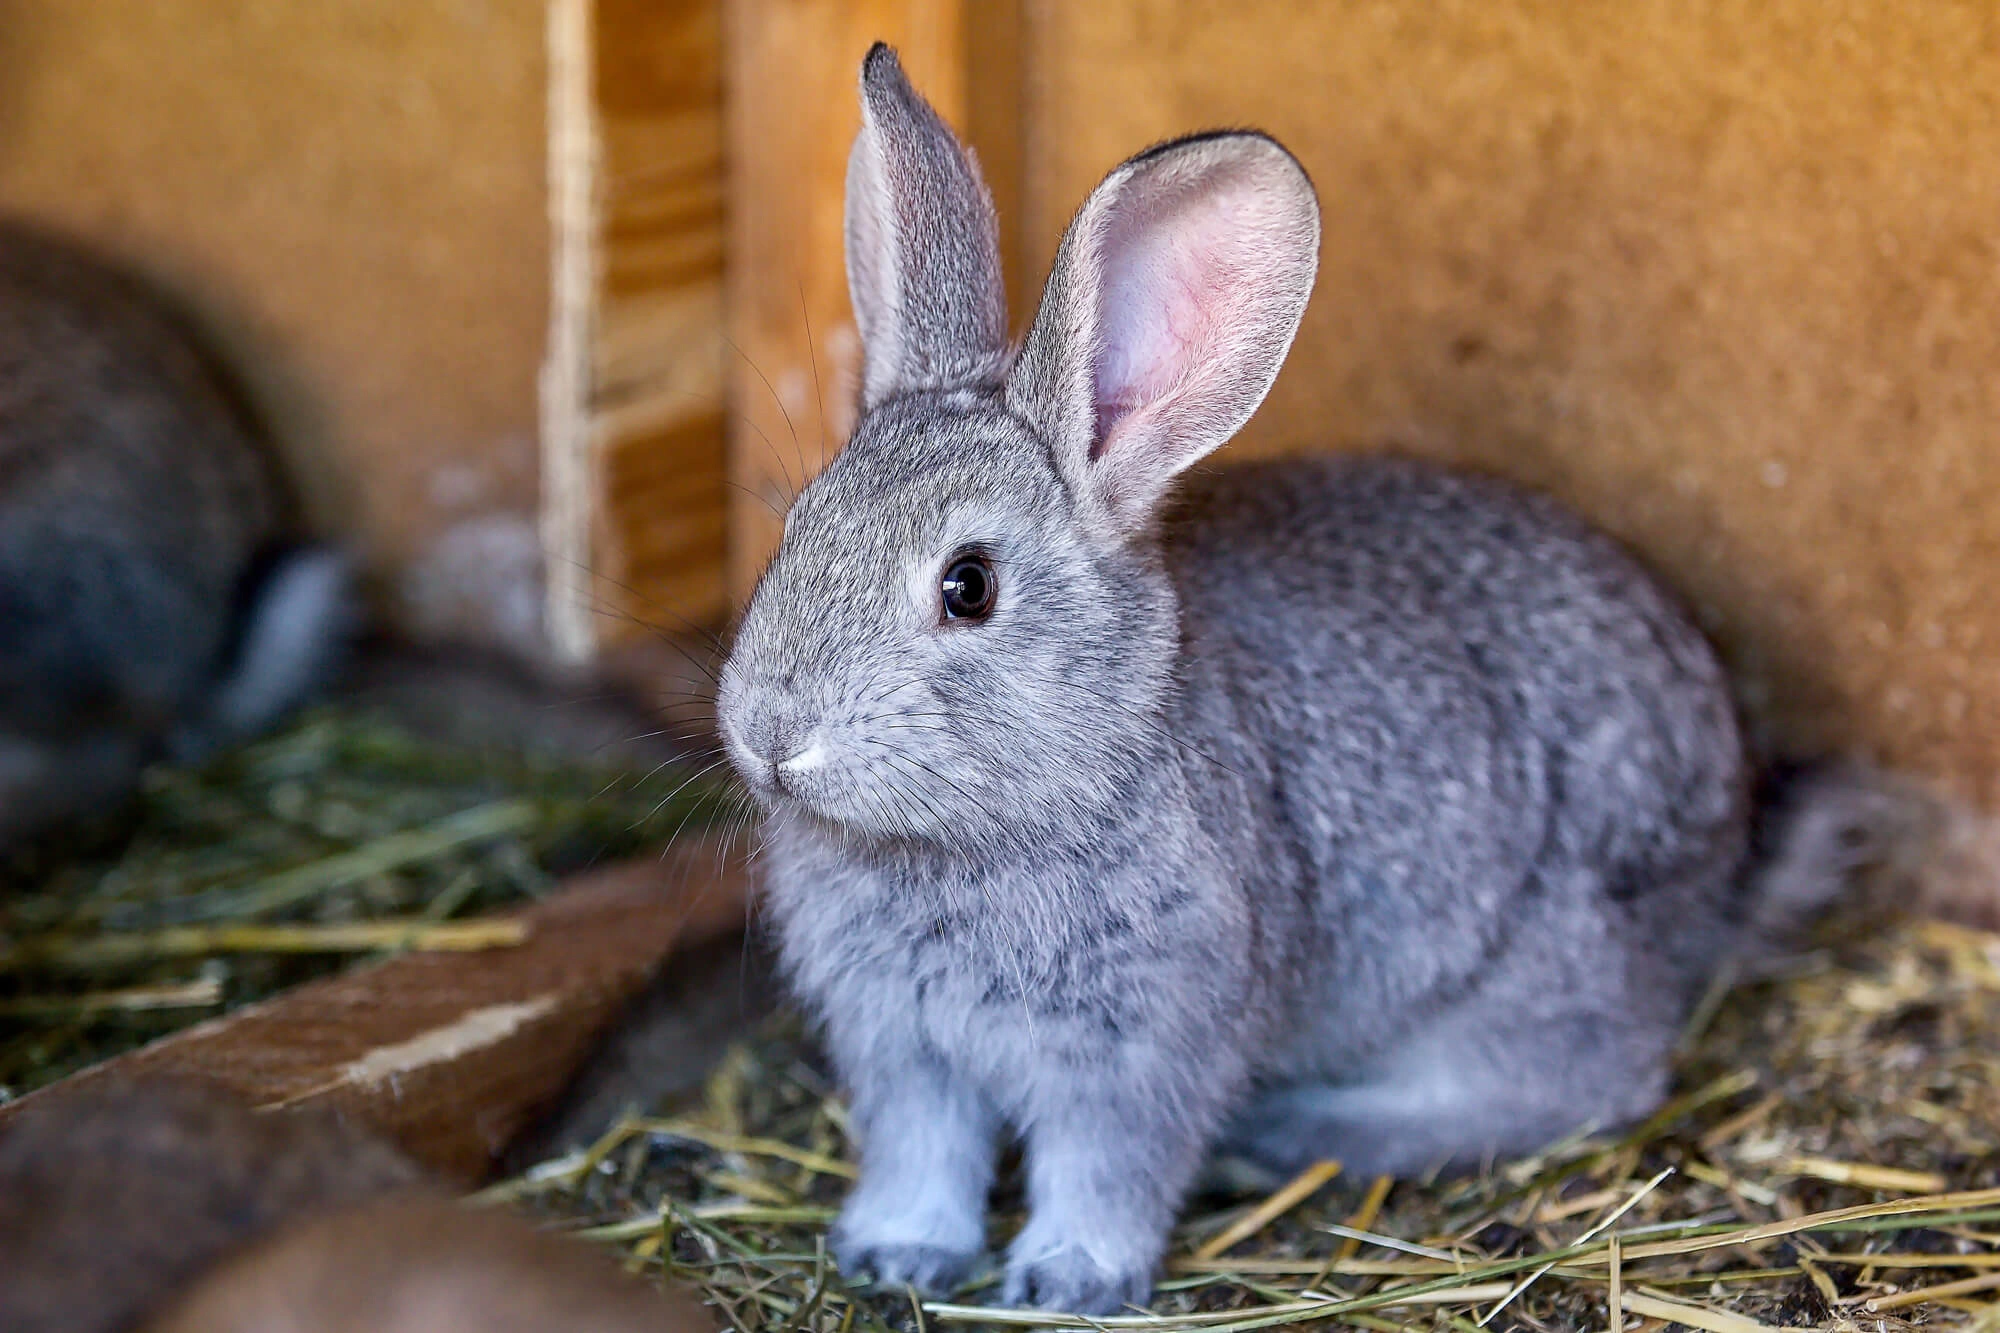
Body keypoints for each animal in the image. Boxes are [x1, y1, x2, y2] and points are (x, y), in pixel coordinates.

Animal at [716, 45, 1883, 1315]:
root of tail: (1724, 843)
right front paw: (896, 1254)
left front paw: (1067, 1280)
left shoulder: (1145, 1045)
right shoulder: (905, 1052)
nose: (771, 730)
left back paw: (1301, 1130)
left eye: (967, 586)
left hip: (1529, 960)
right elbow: (923, 1155)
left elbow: (1106, 1167)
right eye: (795, 525)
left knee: (1585, 1080)